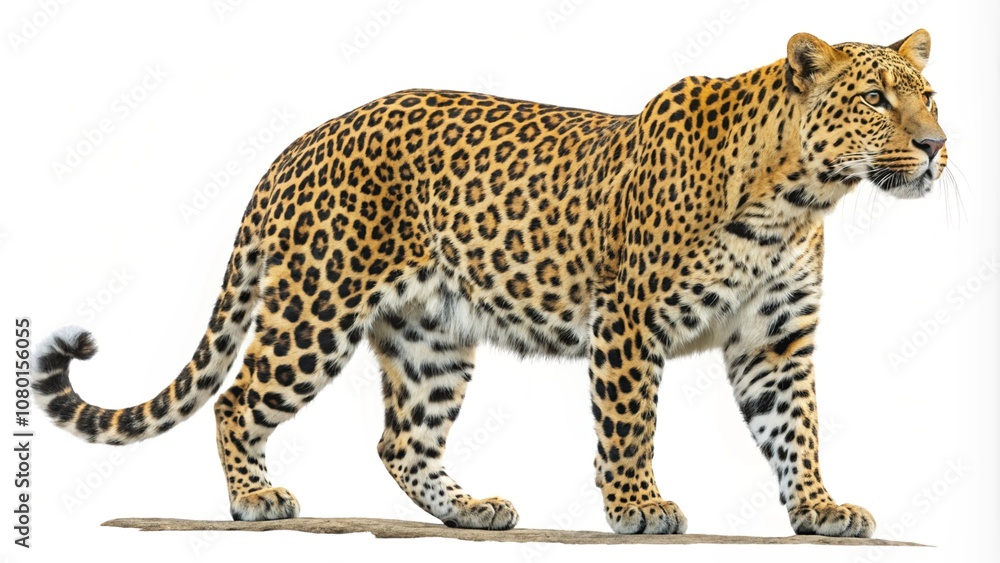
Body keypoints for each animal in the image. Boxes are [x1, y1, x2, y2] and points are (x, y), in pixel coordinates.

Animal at [32, 29, 946, 537]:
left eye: (930, 95)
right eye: (875, 99)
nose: (937, 146)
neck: (797, 199)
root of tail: (299, 143)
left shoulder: (774, 342)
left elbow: (797, 430)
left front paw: (820, 508)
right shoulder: (628, 322)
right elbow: (630, 425)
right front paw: (637, 506)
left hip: (431, 337)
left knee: (402, 441)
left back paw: (469, 509)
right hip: (316, 310)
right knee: (237, 398)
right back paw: (257, 497)